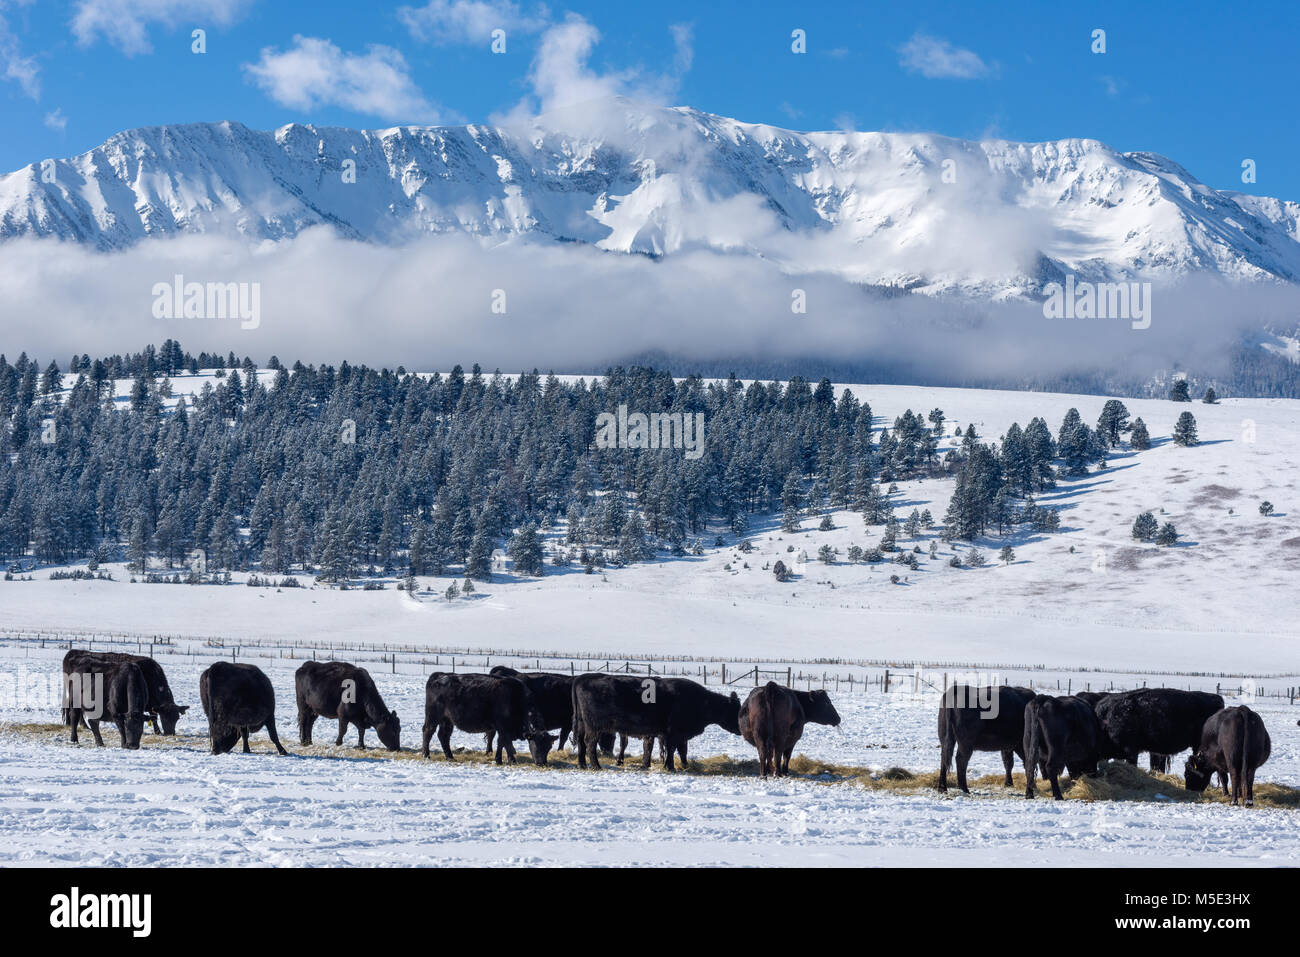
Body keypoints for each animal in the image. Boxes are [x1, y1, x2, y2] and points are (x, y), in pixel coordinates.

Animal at [420, 673, 554, 765]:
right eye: (537, 744)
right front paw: (511, 760)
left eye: (549, 746)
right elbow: (506, 743)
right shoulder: (503, 727)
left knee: (443, 736)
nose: (542, 763)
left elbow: (501, 743)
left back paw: (450, 757)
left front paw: (499, 759)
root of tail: (439, 676)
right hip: (433, 716)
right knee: (428, 732)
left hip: (447, 720)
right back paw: (426, 755)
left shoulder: (502, 728)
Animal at [571, 675, 741, 771]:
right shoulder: (673, 733)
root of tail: (582, 679)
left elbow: (682, 751)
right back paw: (596, 766)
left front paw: (684, 766)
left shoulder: (678, 735)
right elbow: (672, 749)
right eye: (736, 710)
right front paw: (670, 767)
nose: (741, 729)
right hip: (594, 726)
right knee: (590, 743)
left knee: (581, 742)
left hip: (582, 724)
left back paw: (582, 764)